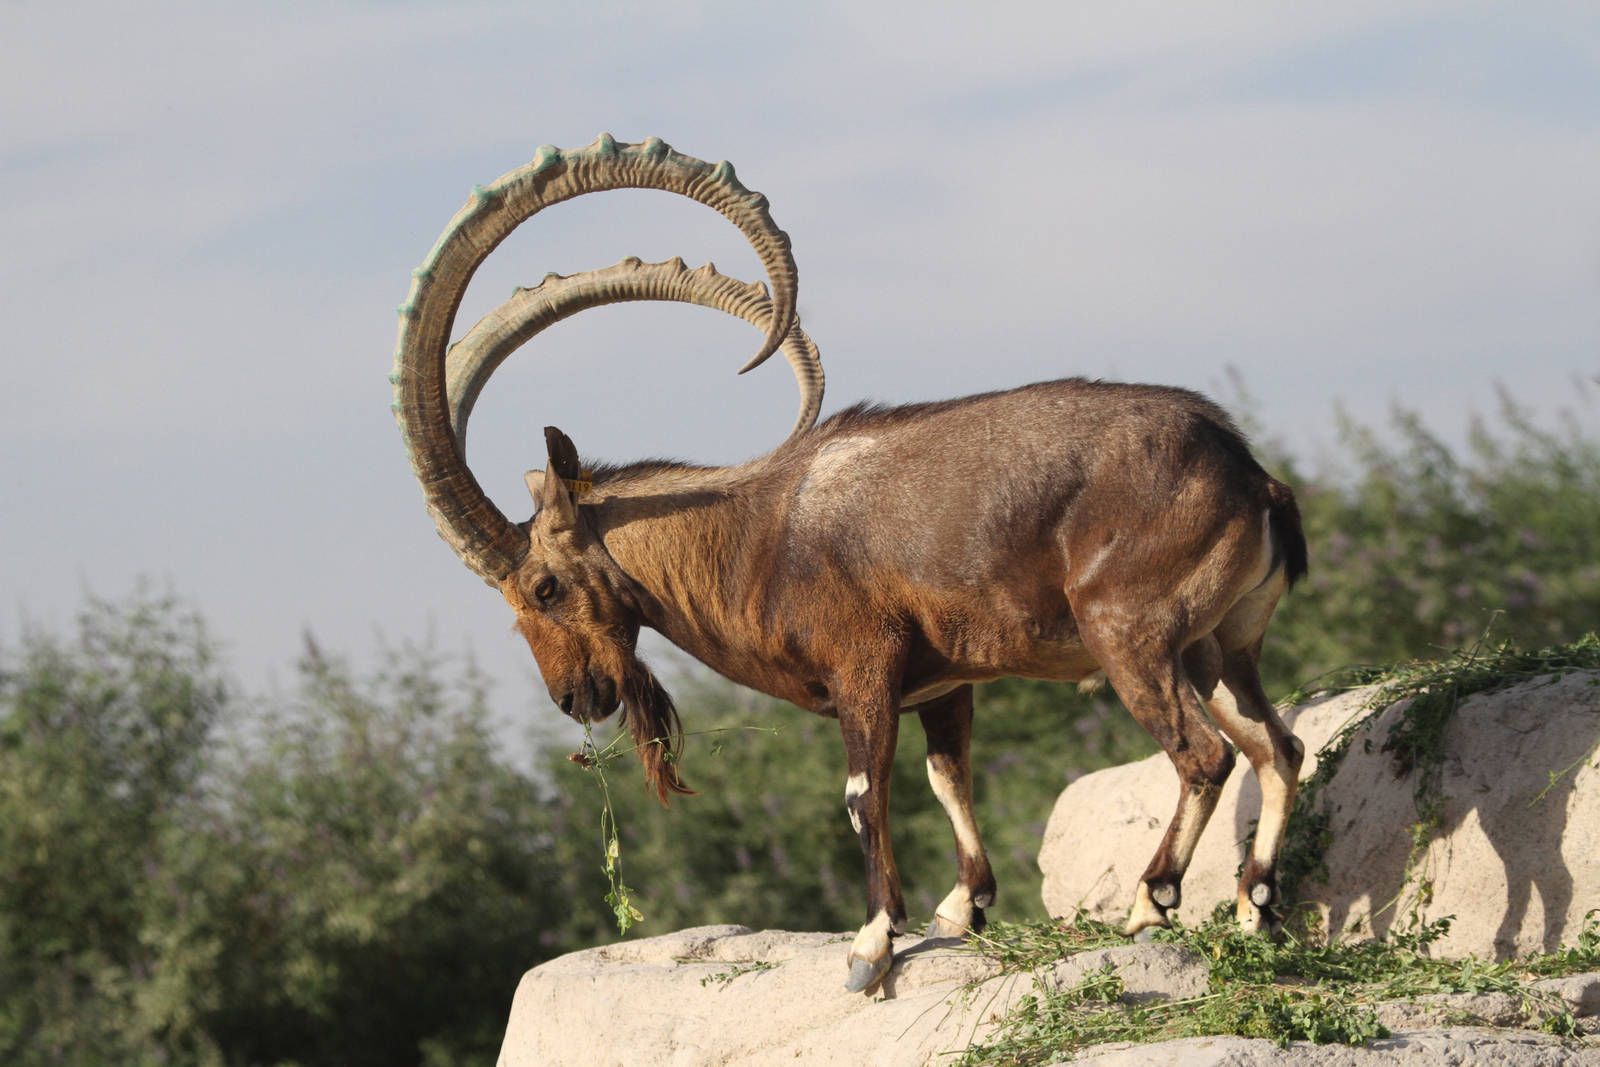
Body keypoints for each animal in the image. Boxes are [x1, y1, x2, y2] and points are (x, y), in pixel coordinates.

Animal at [392, 135, 1308, 994]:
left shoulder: (864, 665)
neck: (751, 534)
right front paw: (962, 905)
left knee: (1205, 755)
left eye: (542, 585)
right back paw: (1253, 905)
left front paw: (871, 946)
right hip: (1222, 647)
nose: (575, 696)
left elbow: (864, 794)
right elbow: (948, 776)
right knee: (1279, 747)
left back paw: (1149, 901)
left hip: (1132, 635)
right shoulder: (943, 682)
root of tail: (1252, 476)